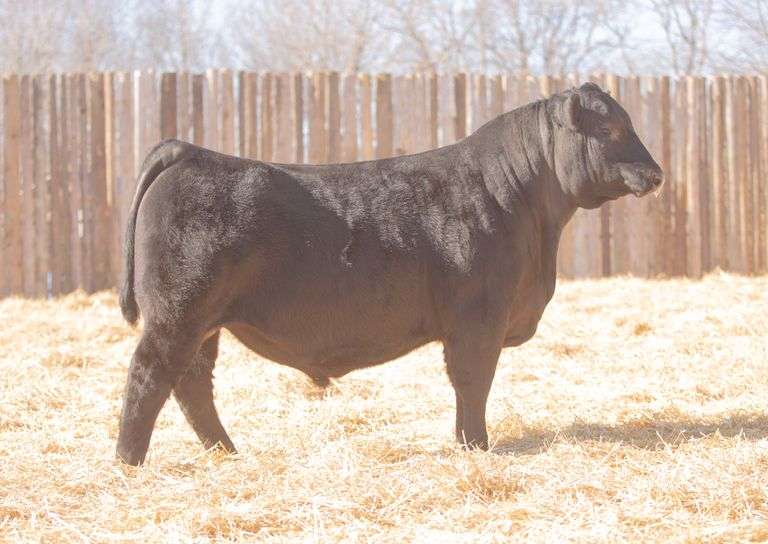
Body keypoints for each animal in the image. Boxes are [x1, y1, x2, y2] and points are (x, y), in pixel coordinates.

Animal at [116, 82, 663, 466]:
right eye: (611, 130)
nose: (656, 174)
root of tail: (191, 151)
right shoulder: (478, 320)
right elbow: (473, 382)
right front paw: (476, 446)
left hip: (203, 322)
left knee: (192, 386)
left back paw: (227, 454)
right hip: (178, 314)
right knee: (149, 377)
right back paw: (129, 463)